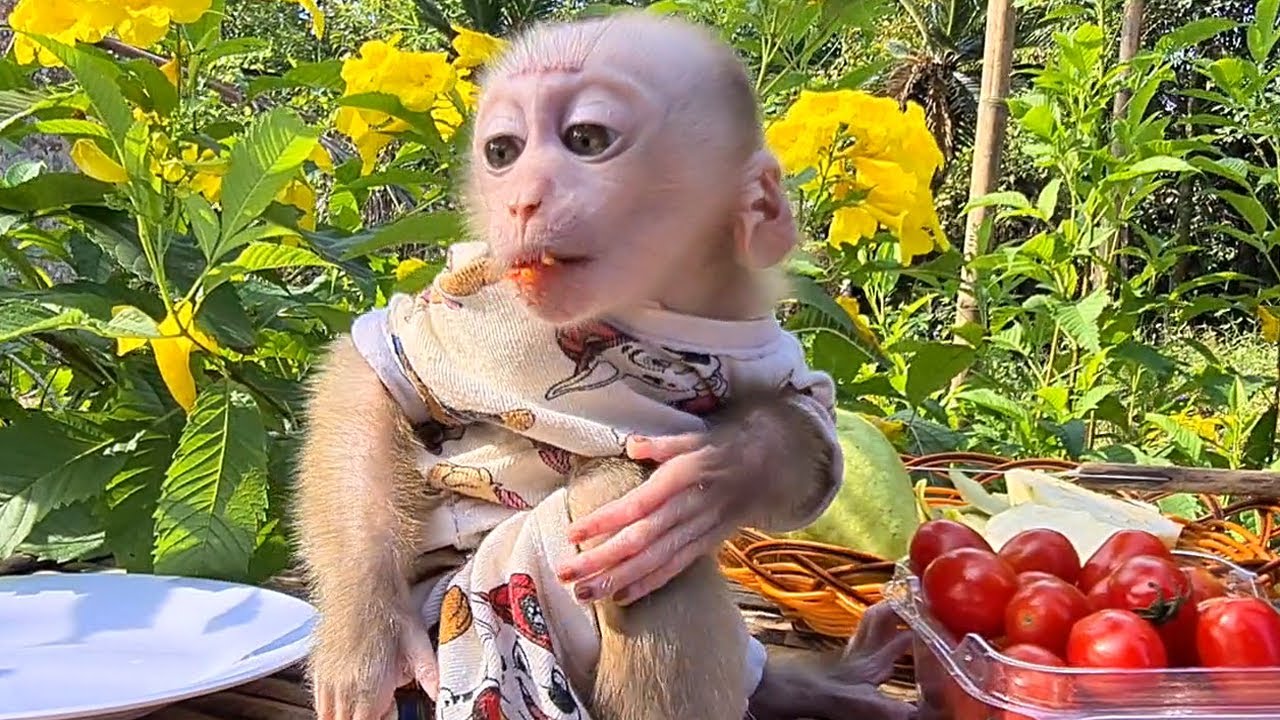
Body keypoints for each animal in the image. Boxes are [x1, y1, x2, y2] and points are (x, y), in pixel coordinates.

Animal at [292, 11, 919, 720]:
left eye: (585, 139)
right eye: (503, 152)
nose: (521, 202)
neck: (655, 311)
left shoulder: (763, 341)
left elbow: (812, 413)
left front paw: (723, 472)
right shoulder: (488, 310)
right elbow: (376, 369)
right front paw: (364, 643)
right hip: (476, 617)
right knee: (611, 496)